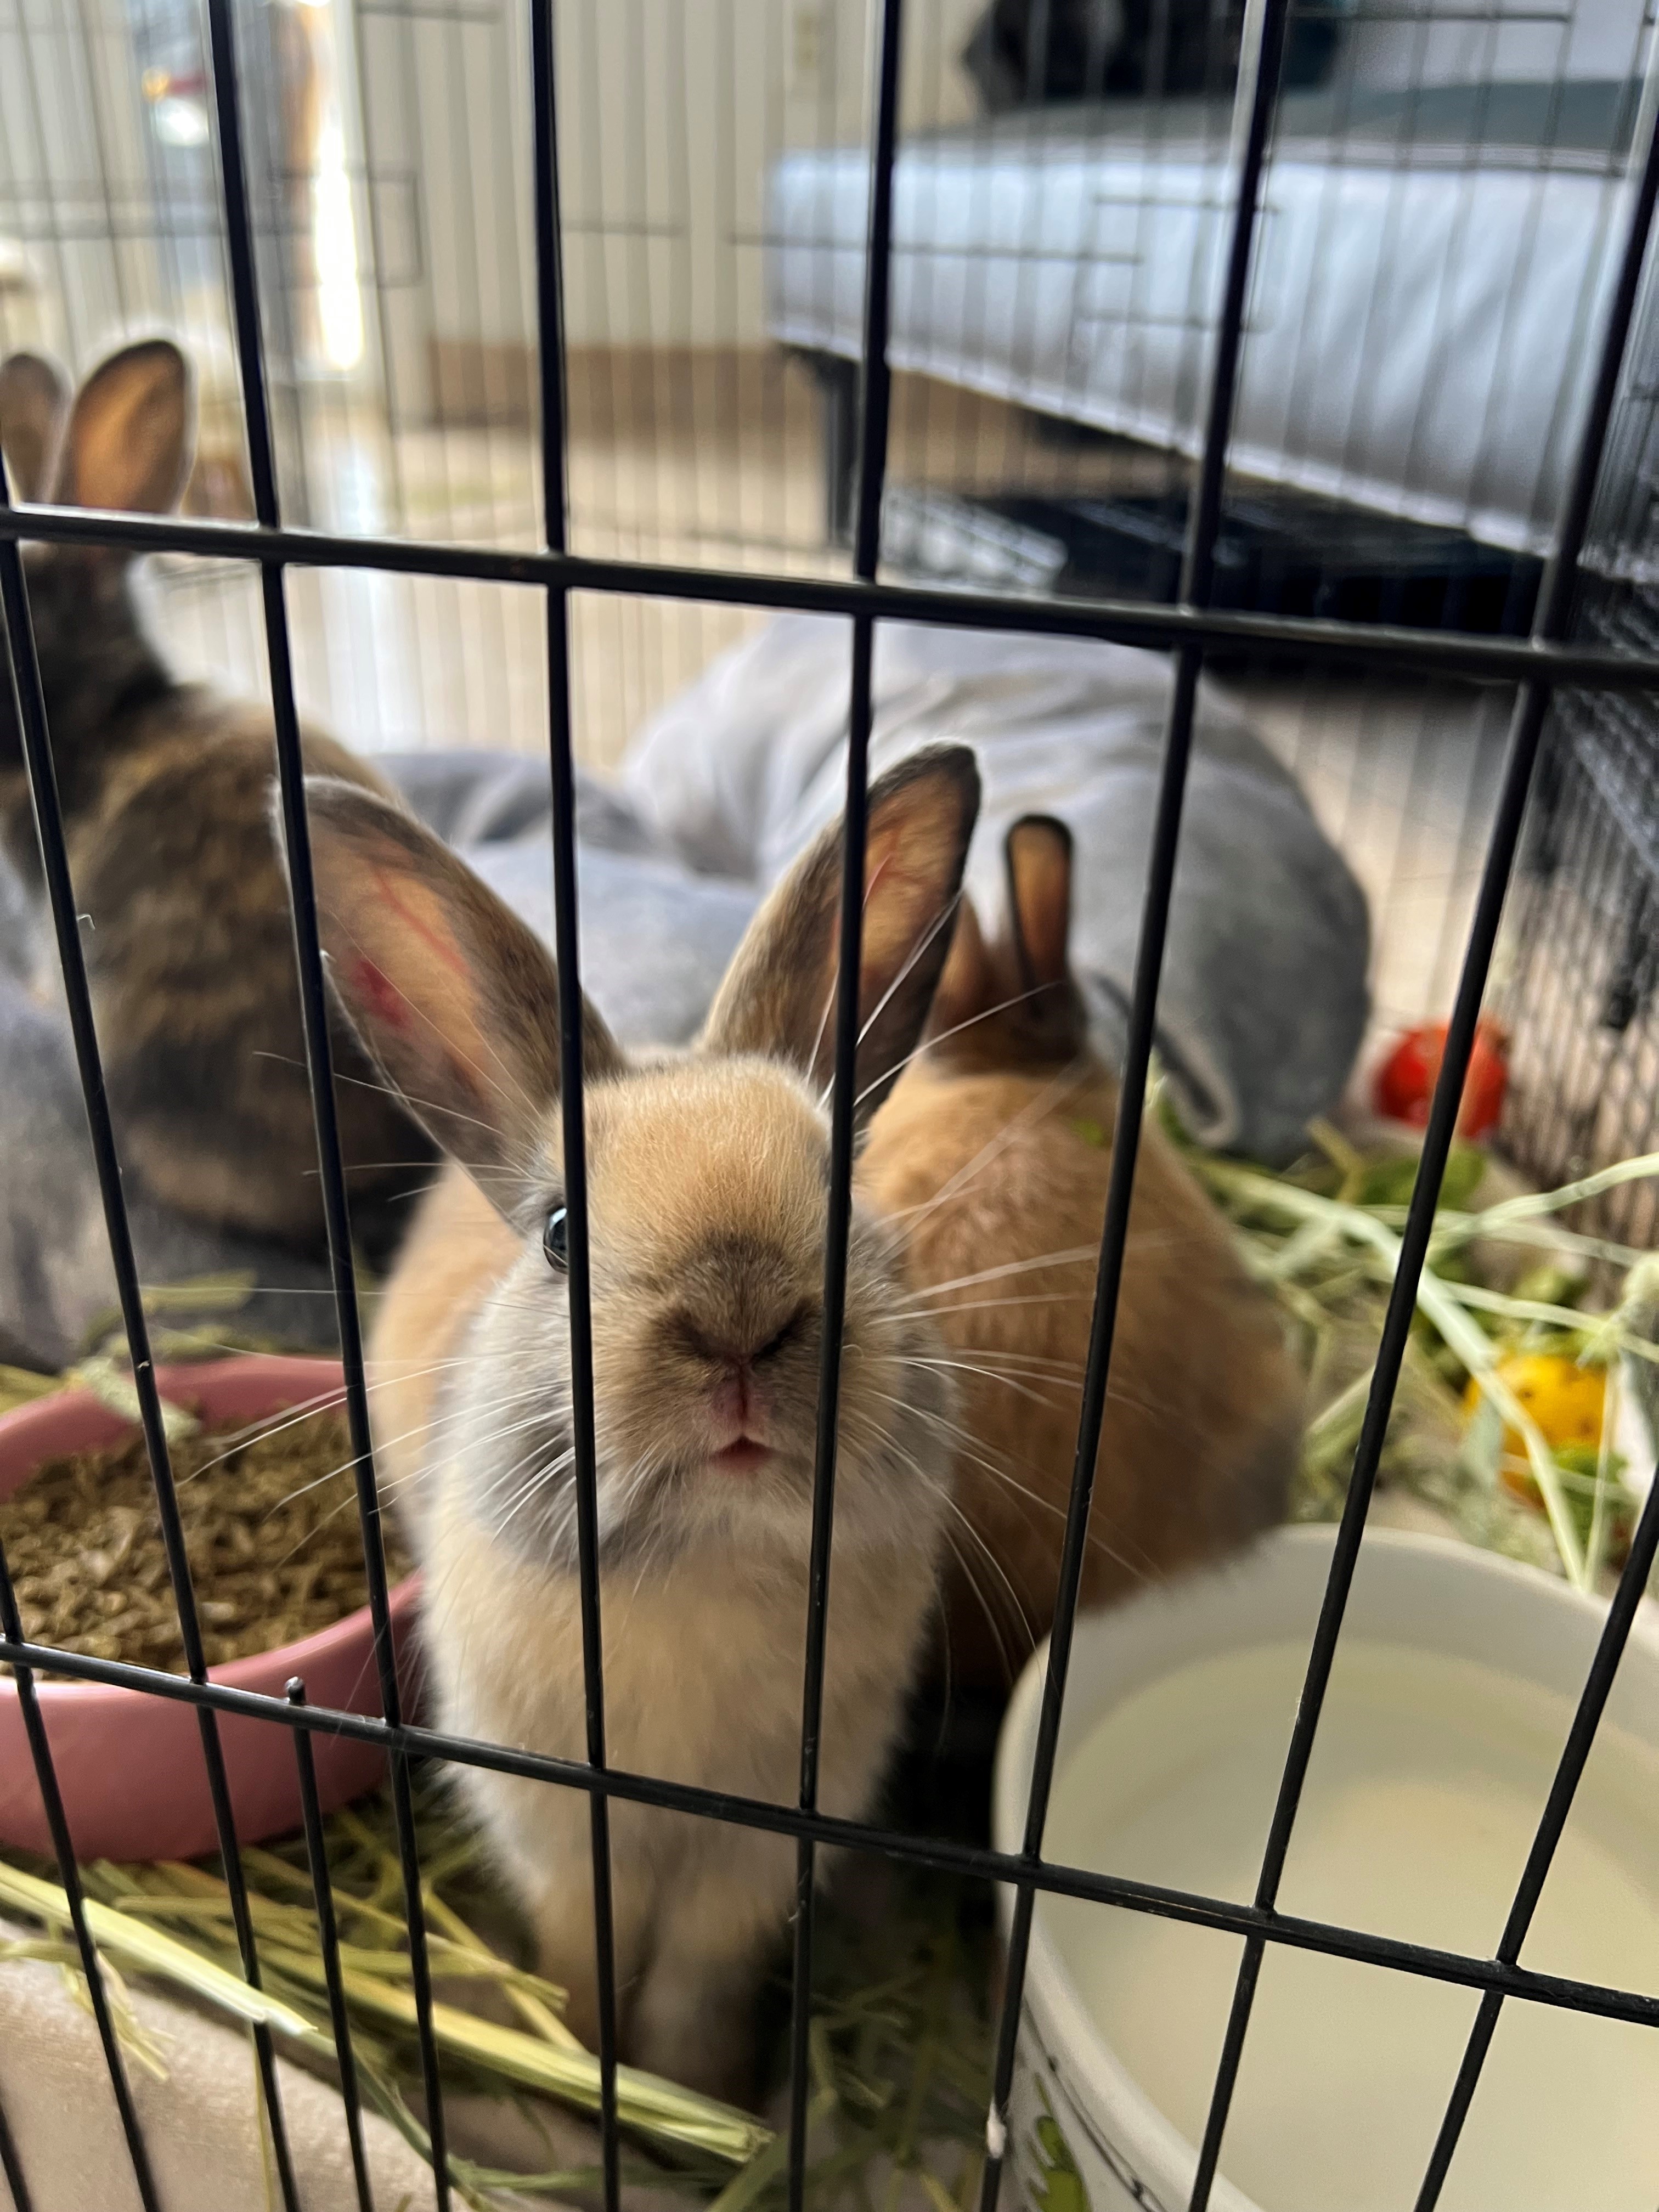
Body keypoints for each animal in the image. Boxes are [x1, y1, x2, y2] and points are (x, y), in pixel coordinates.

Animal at [301, 745, 982, 2099]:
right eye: (561, 1233)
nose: (737, 1320)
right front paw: (588, 2067)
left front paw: (694, 2090)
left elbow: (691, 1986)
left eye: (850, 1199)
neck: (706, 1556)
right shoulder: (564, 1839)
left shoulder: (751, 1860)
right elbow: (584, 1955)